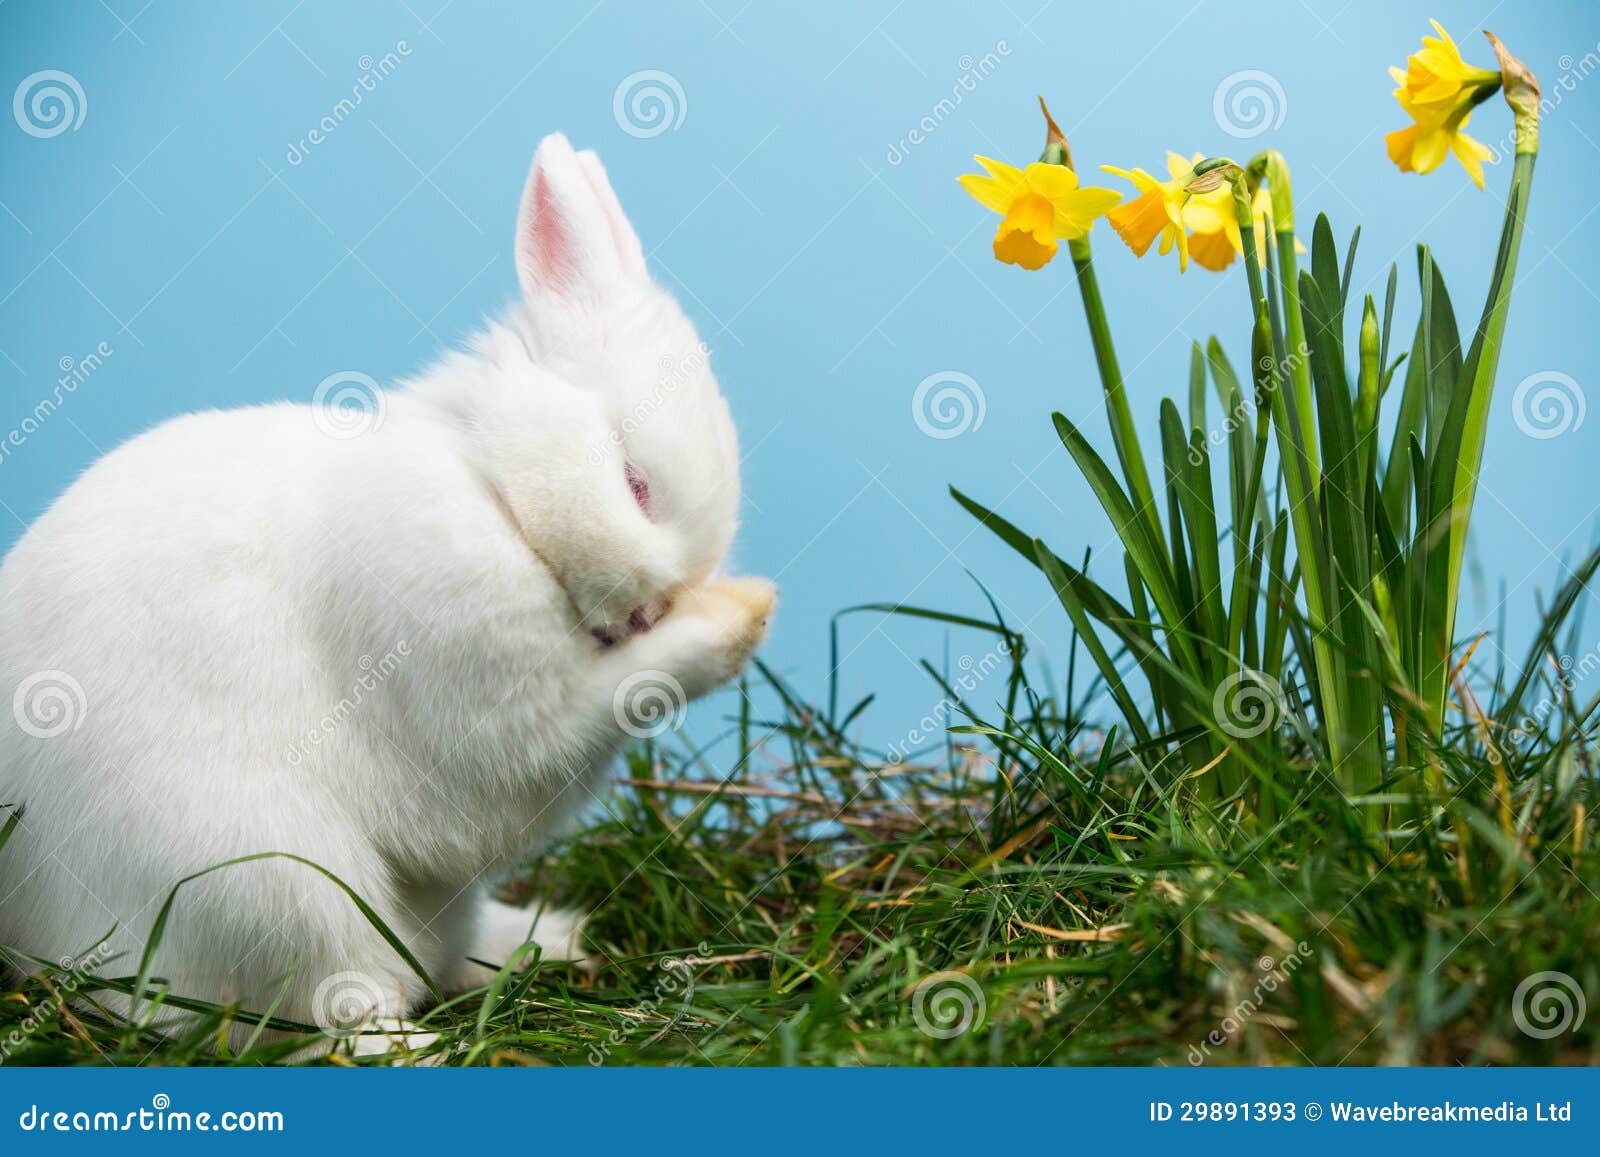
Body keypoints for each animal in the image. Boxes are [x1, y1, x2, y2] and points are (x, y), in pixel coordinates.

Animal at [0, 132, 775, 1058]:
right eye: (635, 484)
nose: (649, 610)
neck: (493, 487)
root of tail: (41, 937)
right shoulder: (485, 712)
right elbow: (590, 712)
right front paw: (735, 622)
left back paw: (549, 937)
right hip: (274, 888)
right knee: (327, 1011)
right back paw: (424, 1044)